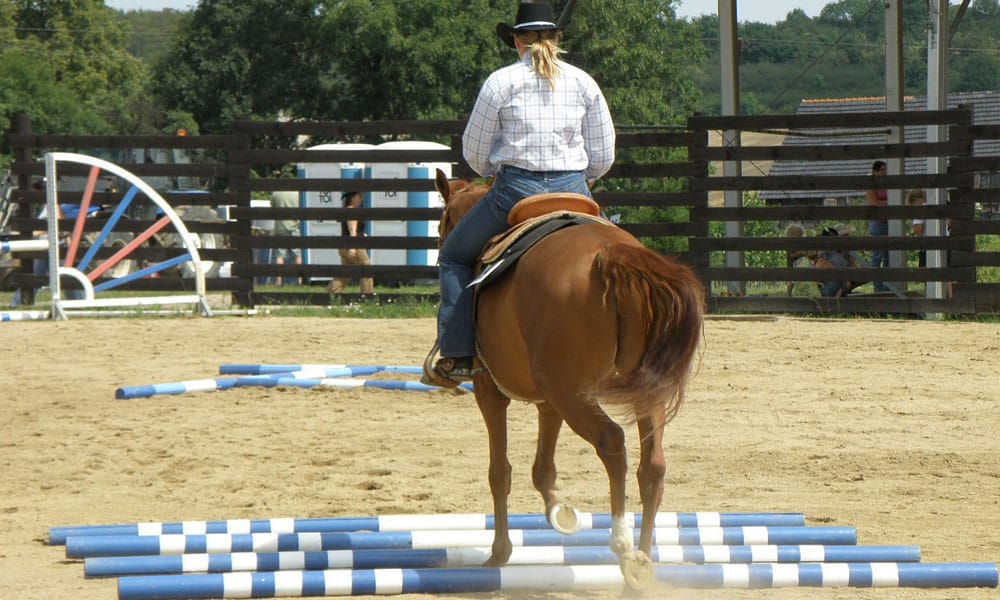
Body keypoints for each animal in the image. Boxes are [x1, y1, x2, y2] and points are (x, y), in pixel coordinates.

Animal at [429, 169, 705, 591]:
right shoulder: (548, 400)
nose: (441, 245)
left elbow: (500, 472)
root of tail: (612, 255)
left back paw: (622, 546)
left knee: (612, 442)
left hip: (572, 394)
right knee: (652, 466)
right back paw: (641, 565)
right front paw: (560, 511)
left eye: (444, 223)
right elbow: (542, 468)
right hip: (639, 392)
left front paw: (499, 553)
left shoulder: (490, 391)